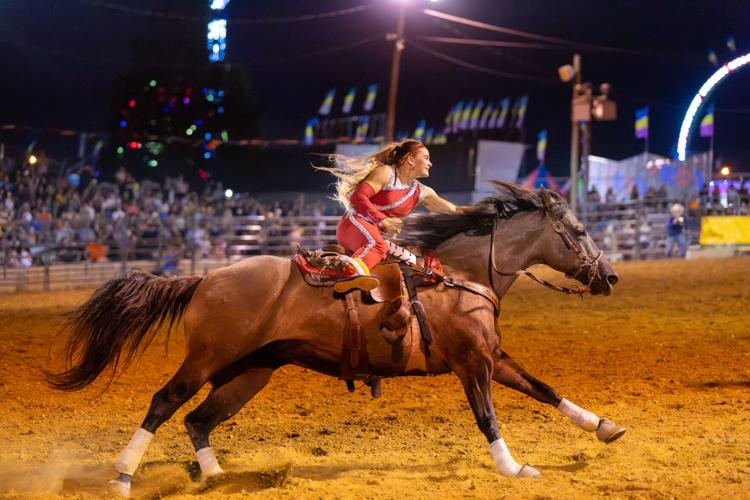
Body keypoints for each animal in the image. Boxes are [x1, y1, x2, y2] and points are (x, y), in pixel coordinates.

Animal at [45, 183, 624, 497]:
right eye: (578, 230)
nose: (609, 277)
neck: (459, 276)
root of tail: (206, 278)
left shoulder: (493, 356)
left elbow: (545, 389)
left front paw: (604, 427)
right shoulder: (472, 364)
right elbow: (488, 417)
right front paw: (512, 467)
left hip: (251, 371)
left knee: (198, 419)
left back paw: (215, 477)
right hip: (207, 359)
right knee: (165, 403)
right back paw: (122, 477)